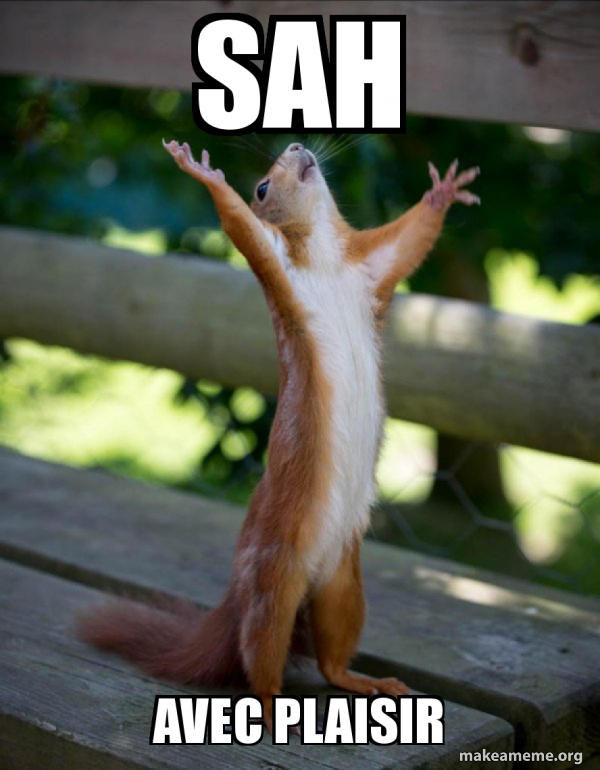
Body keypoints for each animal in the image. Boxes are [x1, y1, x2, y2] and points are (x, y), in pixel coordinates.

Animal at [78, 139, 480, 733]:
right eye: (262, 187)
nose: (295, 146)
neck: (327, 257)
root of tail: (240, 594)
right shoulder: (277, 265)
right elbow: (240, 226)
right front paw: (204, 173)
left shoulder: (372, 267)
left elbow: (409, 241)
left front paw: (443, 192)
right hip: (274, 582)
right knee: (259, 656)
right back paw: (269, 705)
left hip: (344, 586)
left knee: (332, 657)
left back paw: (364, 680)